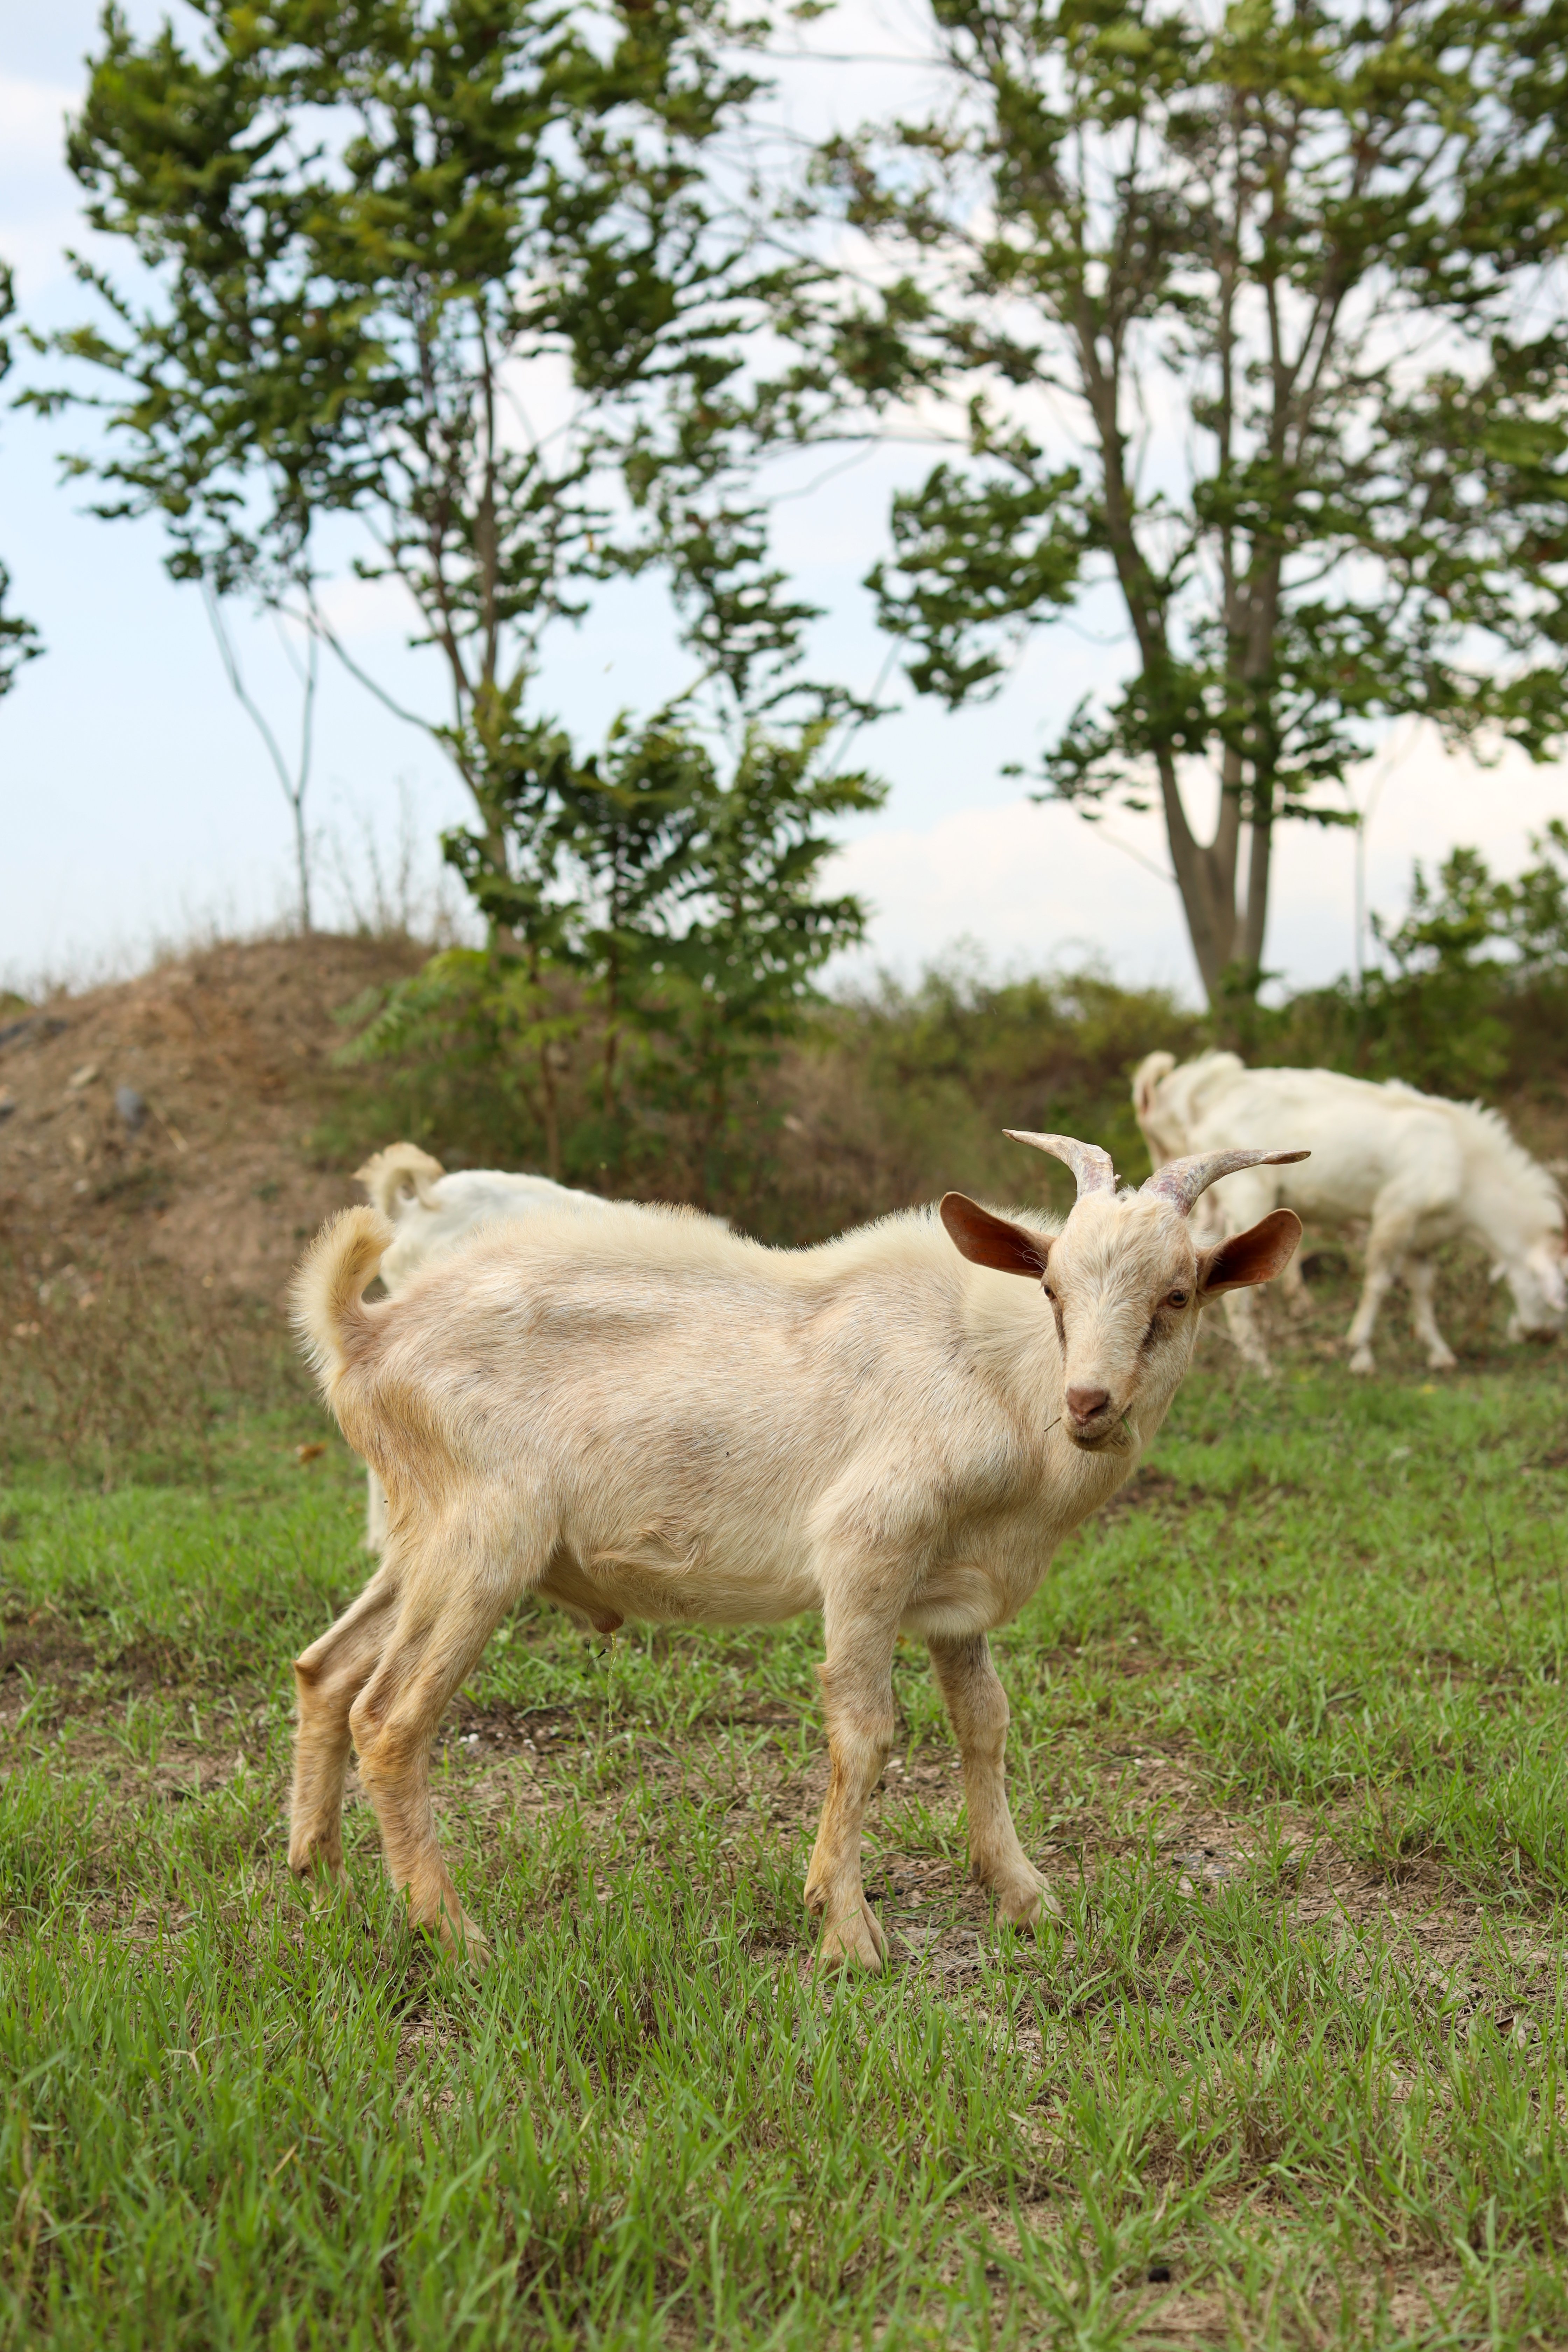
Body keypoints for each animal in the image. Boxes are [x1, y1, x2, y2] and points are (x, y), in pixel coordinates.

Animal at [290, 1133, 1304, 1968]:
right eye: (1052, 1287)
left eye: (1178, 1294)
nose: (1090, 1402)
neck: (999, 1380)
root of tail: (366, 1334)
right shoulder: (868, 1546)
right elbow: (865, 1729)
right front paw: (846, 1931)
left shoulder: (956, 1593)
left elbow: (986, 1721)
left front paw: (1024, 1897)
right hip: (485, 1539)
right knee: (390, 1718)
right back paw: (452, 1934)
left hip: (422, 1540)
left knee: (326, 1669)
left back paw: (325, 1883)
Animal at [1133, 1051, 1566, 1375]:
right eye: (1556, 1293)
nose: (1542, 1337)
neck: (1465, 1164)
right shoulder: (1395, 1212)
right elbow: (1378, 1282)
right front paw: (1359, 1353)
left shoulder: (1422, 1237)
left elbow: (1422, 1289)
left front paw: (1439, 1353)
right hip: (1248, 1194)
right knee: (1240, 1296)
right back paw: (1260, 1364)